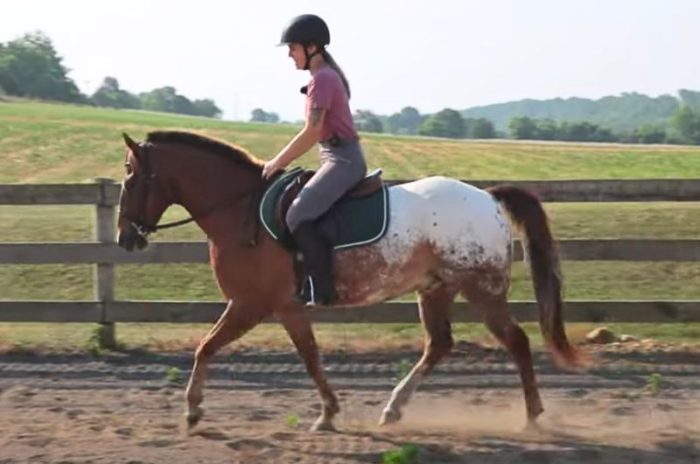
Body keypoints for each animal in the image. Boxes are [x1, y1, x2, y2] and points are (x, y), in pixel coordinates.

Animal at [116, 130, 583, 432]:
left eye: (131, 177)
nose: (124, 238)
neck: (240, 210)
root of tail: (487, 197)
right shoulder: (284, 307)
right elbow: (308, 355)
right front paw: (328, 412)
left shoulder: (253, 304)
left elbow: (208, 347)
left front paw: (193, 410)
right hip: (435, 289)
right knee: (439, 345)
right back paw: (394, 409)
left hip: (480, 289)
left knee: (516, 341)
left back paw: (532, 417)